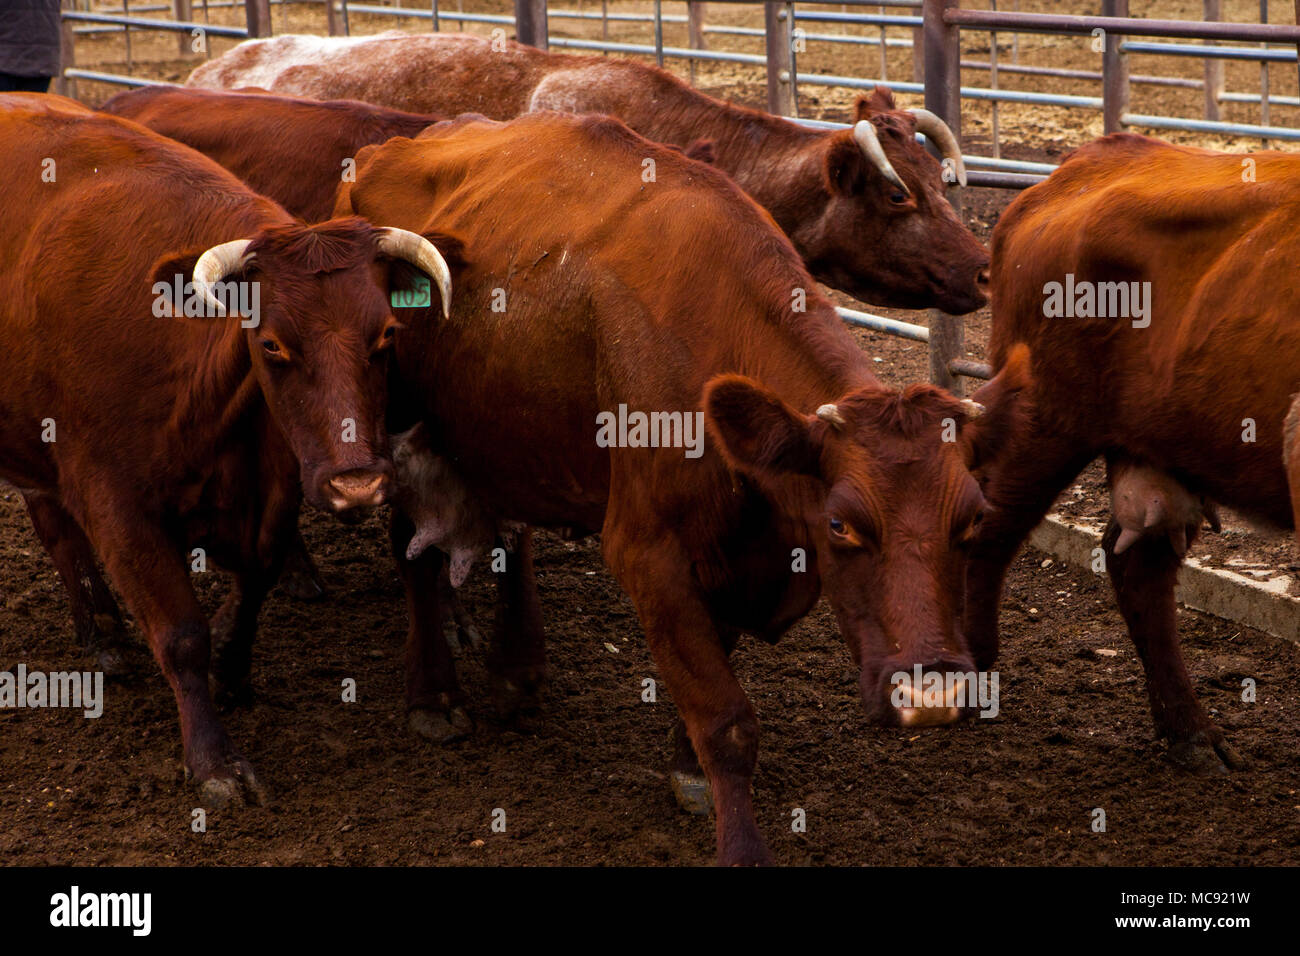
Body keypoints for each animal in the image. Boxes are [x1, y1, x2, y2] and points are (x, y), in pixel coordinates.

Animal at [0, 97, 452, 804]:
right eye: (270, 343)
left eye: (385, 335)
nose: (356, 485)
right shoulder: (119, 509)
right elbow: (181, 634)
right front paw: (215, 761)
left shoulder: (273, 492)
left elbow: (258, 578)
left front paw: (232, 670)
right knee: (58, 530)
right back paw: (103, 632)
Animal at [333, 111, 1029, 864]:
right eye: (842, 523)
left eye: (973, 519)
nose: (931, 695)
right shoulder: (648, 552)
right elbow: (725, 718)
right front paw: (738, 840)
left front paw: (684, 766)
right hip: (395, 417)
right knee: (413, 548)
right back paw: (433, 697)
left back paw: (517, 673)